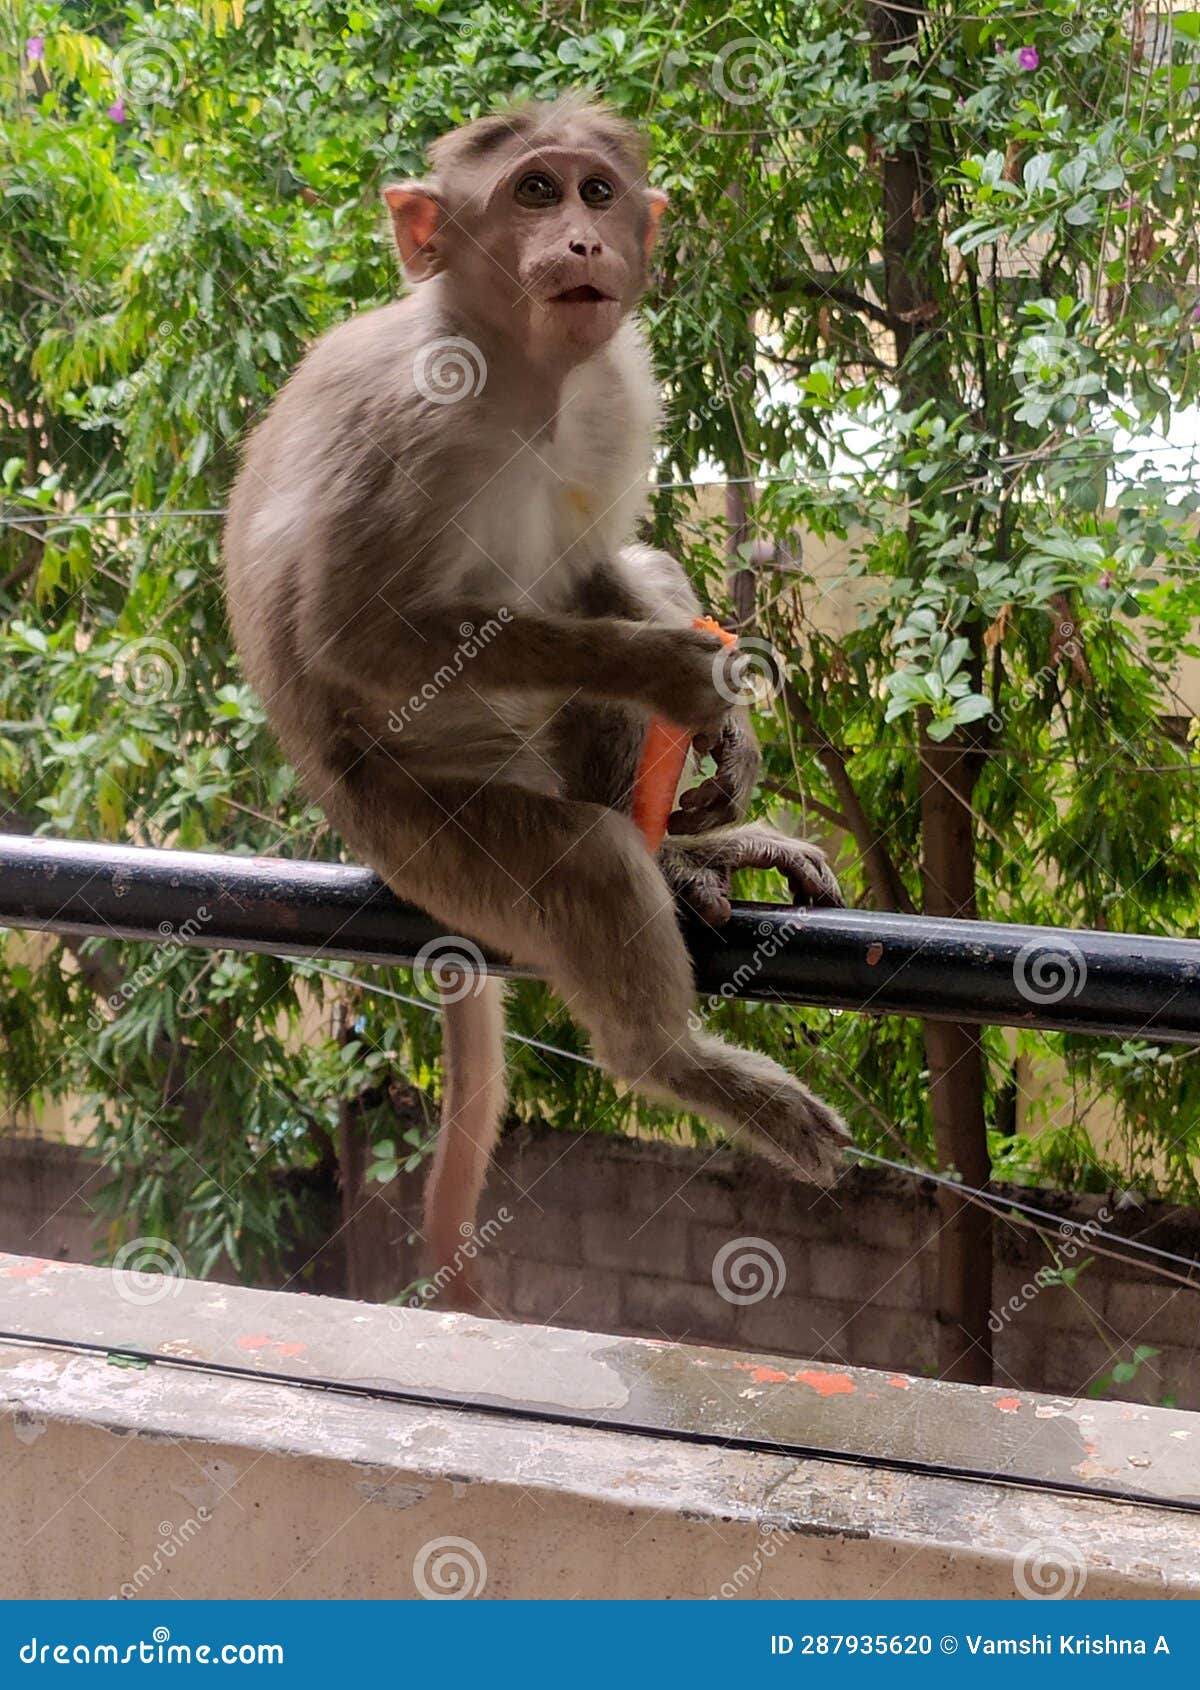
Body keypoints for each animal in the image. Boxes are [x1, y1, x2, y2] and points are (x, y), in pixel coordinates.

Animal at [223, 95, 850, 1313]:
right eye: (531, 191)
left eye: (594, 191)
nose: (578, 242)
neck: (527, 382)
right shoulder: (410, 415)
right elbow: (352, 634)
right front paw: (675, 677)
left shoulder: (617, 385)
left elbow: (595, 568)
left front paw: (726, 723)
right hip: (423, 831)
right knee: (581, 862)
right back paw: (679, 1057)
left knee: (626, 600)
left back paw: (684, 853)